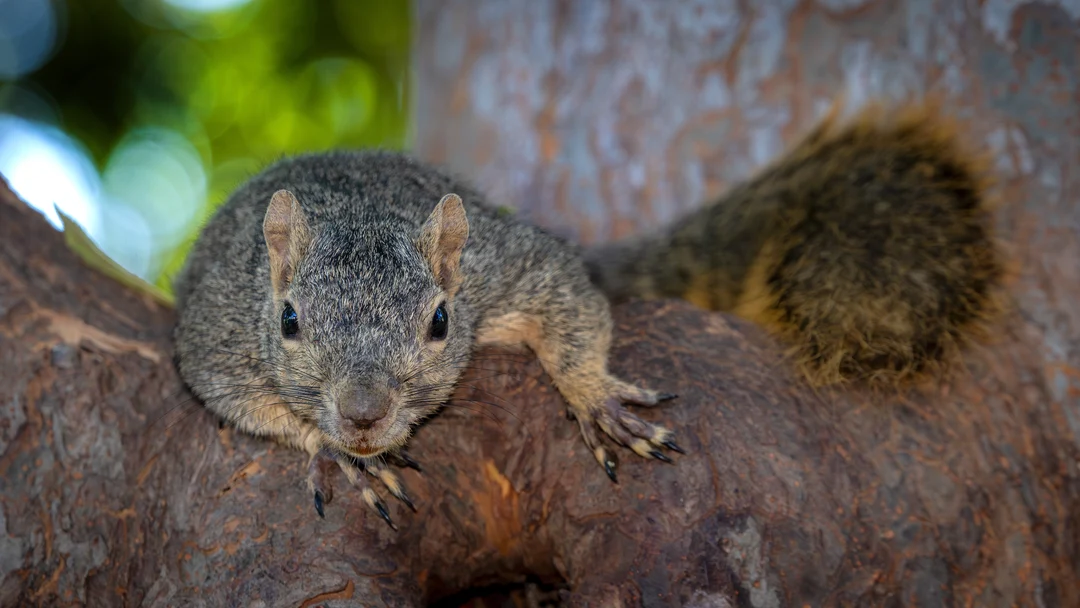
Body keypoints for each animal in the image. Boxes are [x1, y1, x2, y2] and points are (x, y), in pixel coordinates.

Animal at [173, 100, 1003, 525]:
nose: (364, 414)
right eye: (288, 321)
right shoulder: (217, 335)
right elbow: (241, 400)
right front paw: (334, 449)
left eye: (441, 322)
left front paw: (592, 396)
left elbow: (571, 305)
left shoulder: (507, 270)